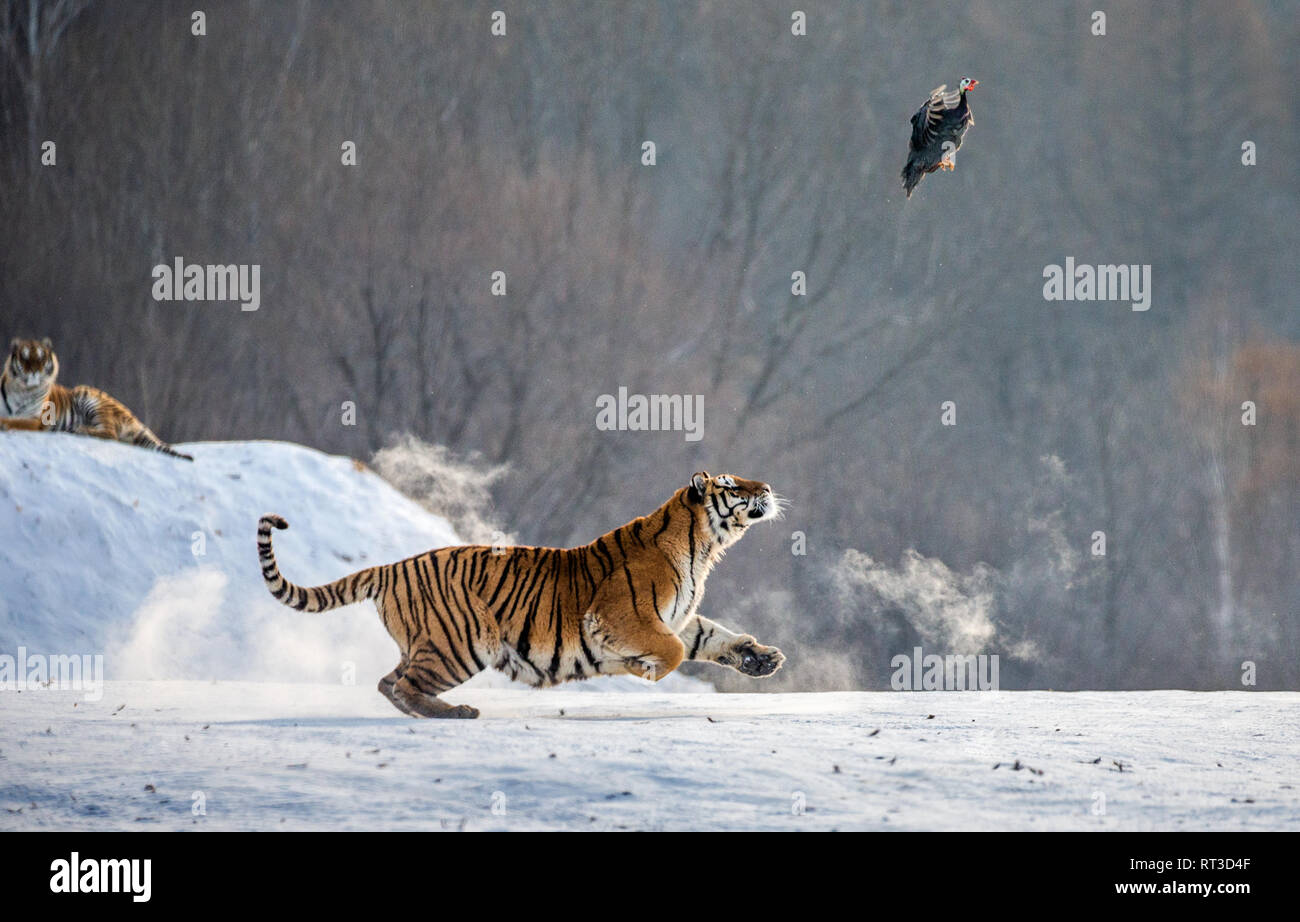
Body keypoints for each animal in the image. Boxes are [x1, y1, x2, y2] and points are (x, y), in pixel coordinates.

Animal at [0, 337, 193, 461]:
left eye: (41, 358)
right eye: (24, 357)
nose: (34, 371)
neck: (23, 390)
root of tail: (133, 418)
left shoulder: (35, 420)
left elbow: (16, 421)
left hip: (89, 398)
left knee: (110, 434)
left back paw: (77, 429)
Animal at [258, 471, 786, 718]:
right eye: (732, 484)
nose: (767, 486)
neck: (705, 546)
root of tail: (394, 566)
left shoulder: (676, 617)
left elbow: (713, 637)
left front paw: (760, 659)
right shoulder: (620, 617)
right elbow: (673, 652)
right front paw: (640, 669)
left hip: (428, 644)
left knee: (390, 683)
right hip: (464, 641)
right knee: (404, 686)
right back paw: (459, 713)